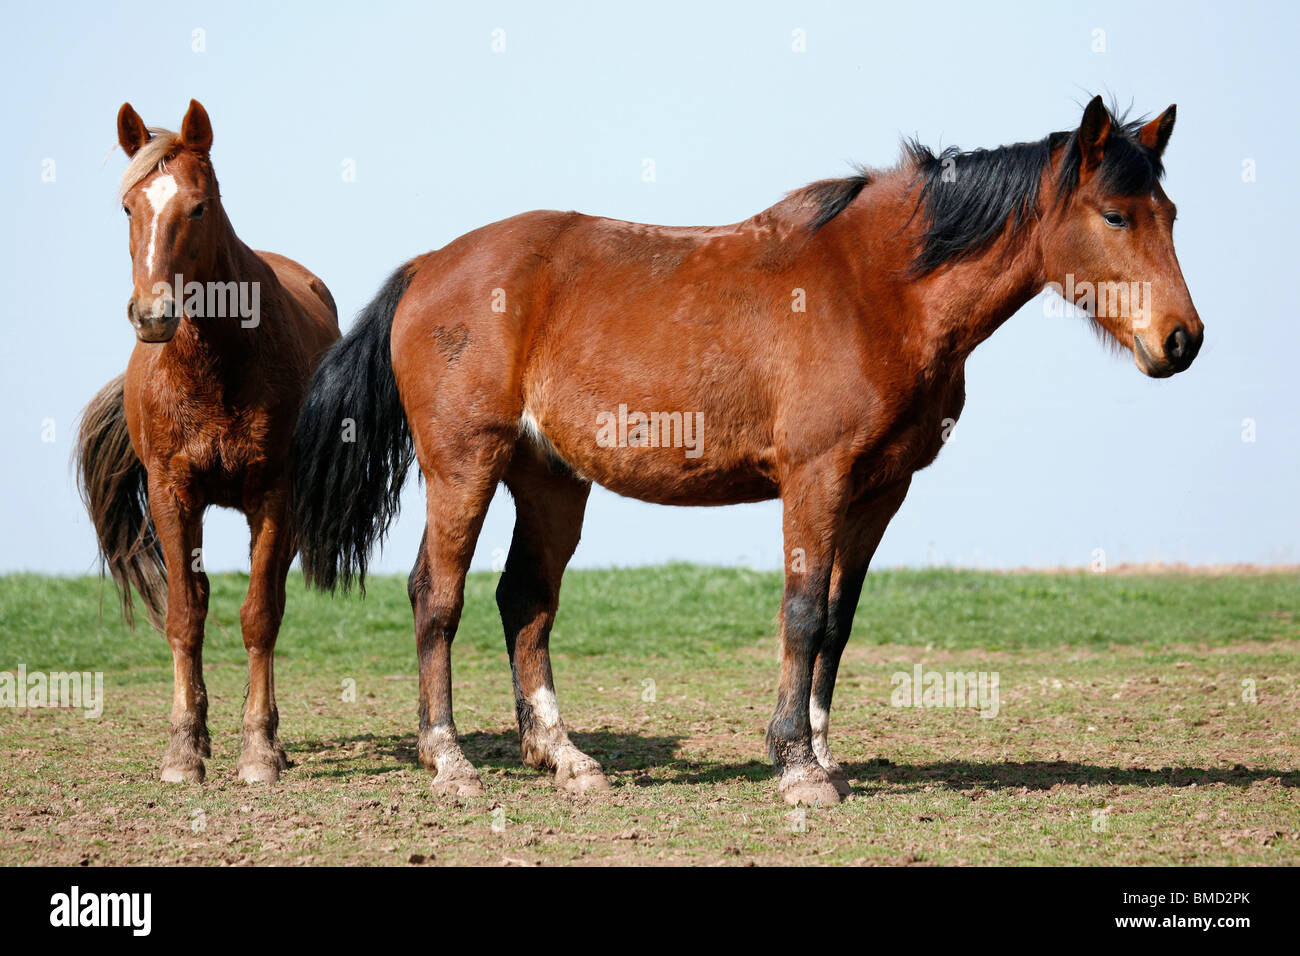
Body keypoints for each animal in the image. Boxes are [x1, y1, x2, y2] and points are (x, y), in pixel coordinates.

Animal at [75, 100, 340, 784]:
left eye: (197, 207)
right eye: (128, 207)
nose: (152, 314)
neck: (213, 367)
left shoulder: (272, 496)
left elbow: (259, 616)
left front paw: (259, 749)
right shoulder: (173, 495)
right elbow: (185, 615)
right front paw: (184, 747)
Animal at [291, 96, 1202, 805]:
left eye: (1170, 214)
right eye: (1115, 215)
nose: (1181, 339)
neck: (877, 291)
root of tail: (428, 267)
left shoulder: (880, 491)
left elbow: (838, 621)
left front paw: (825, 754)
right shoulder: (815, 479)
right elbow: (802, 613)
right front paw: (796, 765)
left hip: (549, 480)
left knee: (525, 601)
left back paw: (567, 759)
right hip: (465, 465)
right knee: (435, 595)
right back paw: (448, 760)